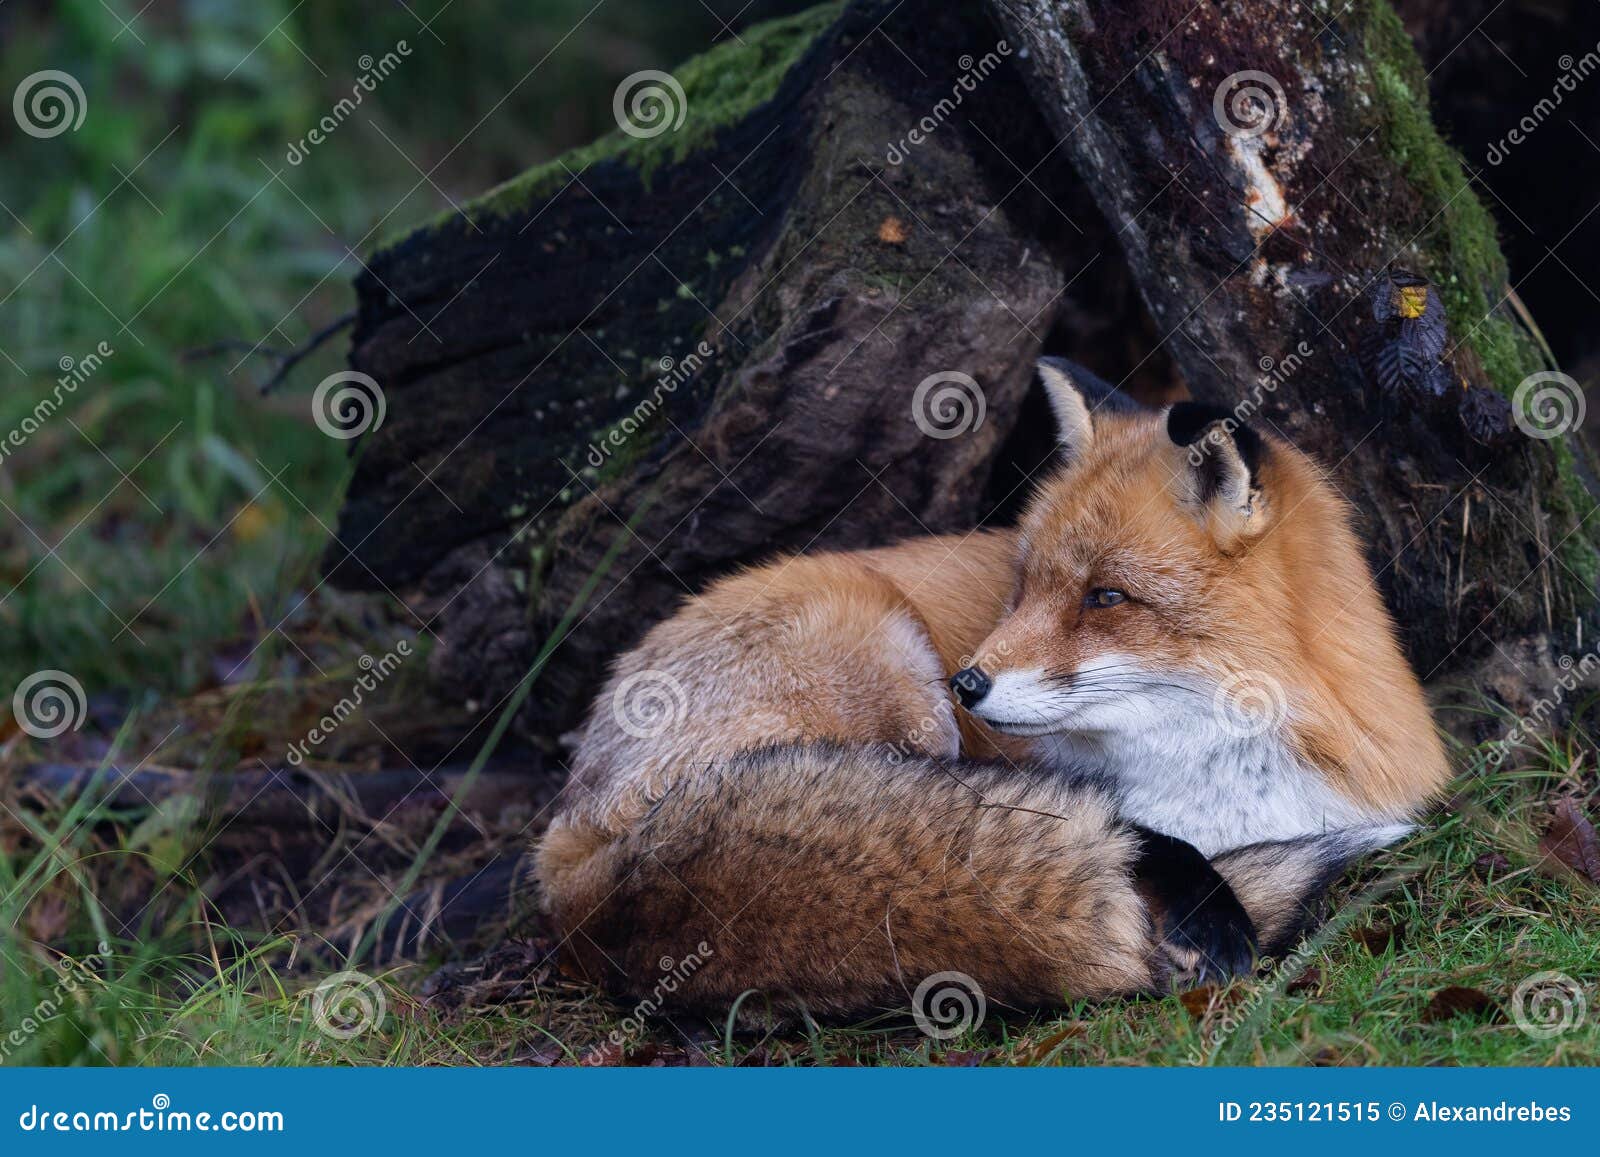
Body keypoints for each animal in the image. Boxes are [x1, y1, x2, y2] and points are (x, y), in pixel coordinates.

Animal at [536, 358, 1451, 1018]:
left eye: (1105, 597)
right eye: (1025, 586)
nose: (968, 681)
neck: (1225, 779)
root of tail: (573, 867)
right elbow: (1132, 830)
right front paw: (1208, 905)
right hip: (889, 669)